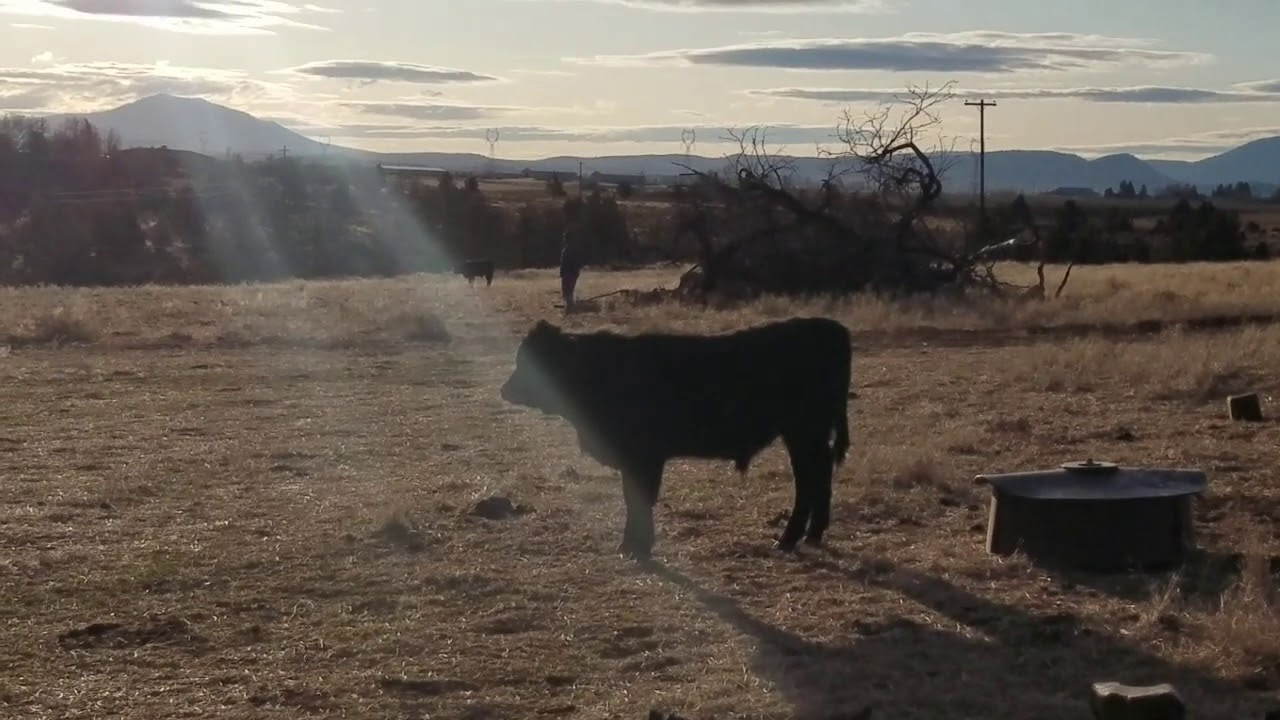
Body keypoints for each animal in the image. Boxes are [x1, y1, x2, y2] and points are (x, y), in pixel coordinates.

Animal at [499, 316, 853, 561]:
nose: (505, 390)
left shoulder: (644, 458)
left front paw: (635, 545)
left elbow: (638, 499)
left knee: (810, 479)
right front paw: (634, 544)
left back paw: (789, 538)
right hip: (806, 435)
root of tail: (832, 328)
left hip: (804, 432)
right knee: (818, 476)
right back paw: (811, 535)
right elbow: (633, 498)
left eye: (532, 363)